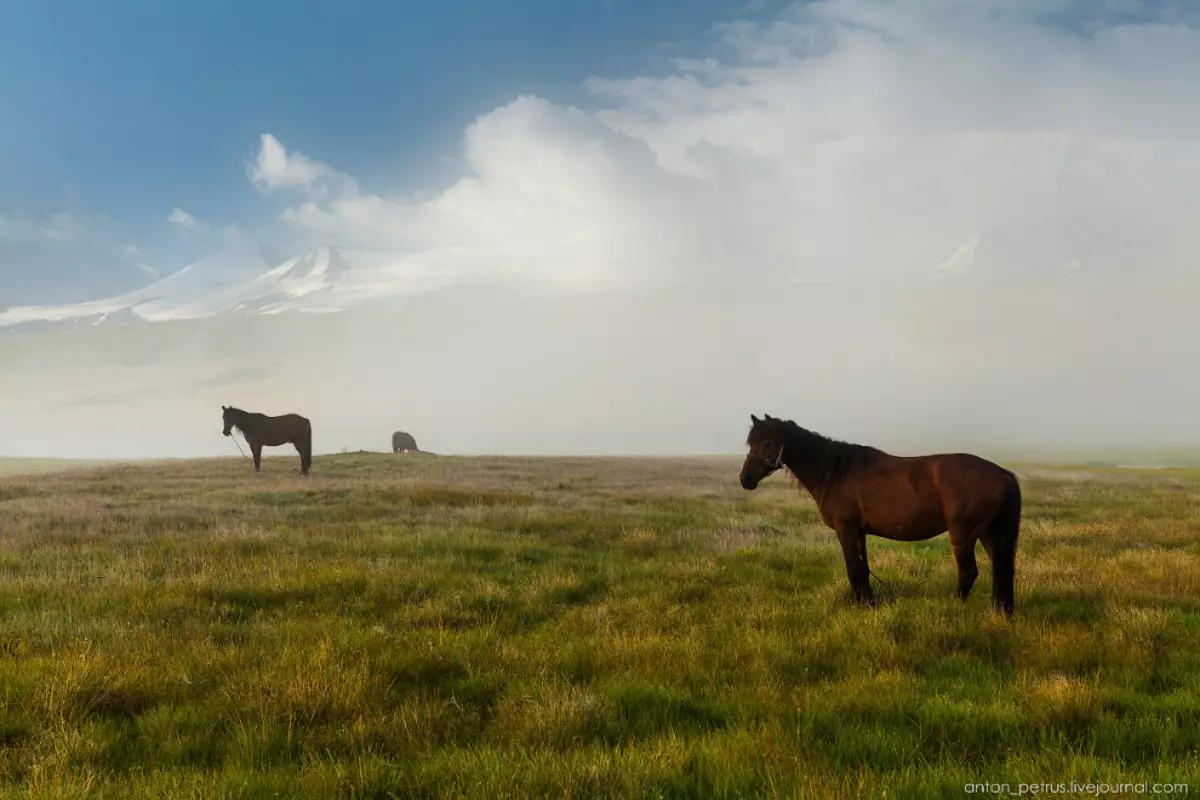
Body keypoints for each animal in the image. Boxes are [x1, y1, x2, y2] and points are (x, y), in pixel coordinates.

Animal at [739, 417, 1022, 618]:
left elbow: (853, 569)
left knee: (968, 572)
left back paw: (955, 609)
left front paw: (860, 607)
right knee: (1000, 569)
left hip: (963, 535)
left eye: (767, 442)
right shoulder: (859, 532)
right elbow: (862, 569)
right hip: (989, 533)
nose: (745, 479)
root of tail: (1002, 474)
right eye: (750, 443)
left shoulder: (846, 529)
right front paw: (868, 604)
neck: (836, 472)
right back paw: (1000, 612)